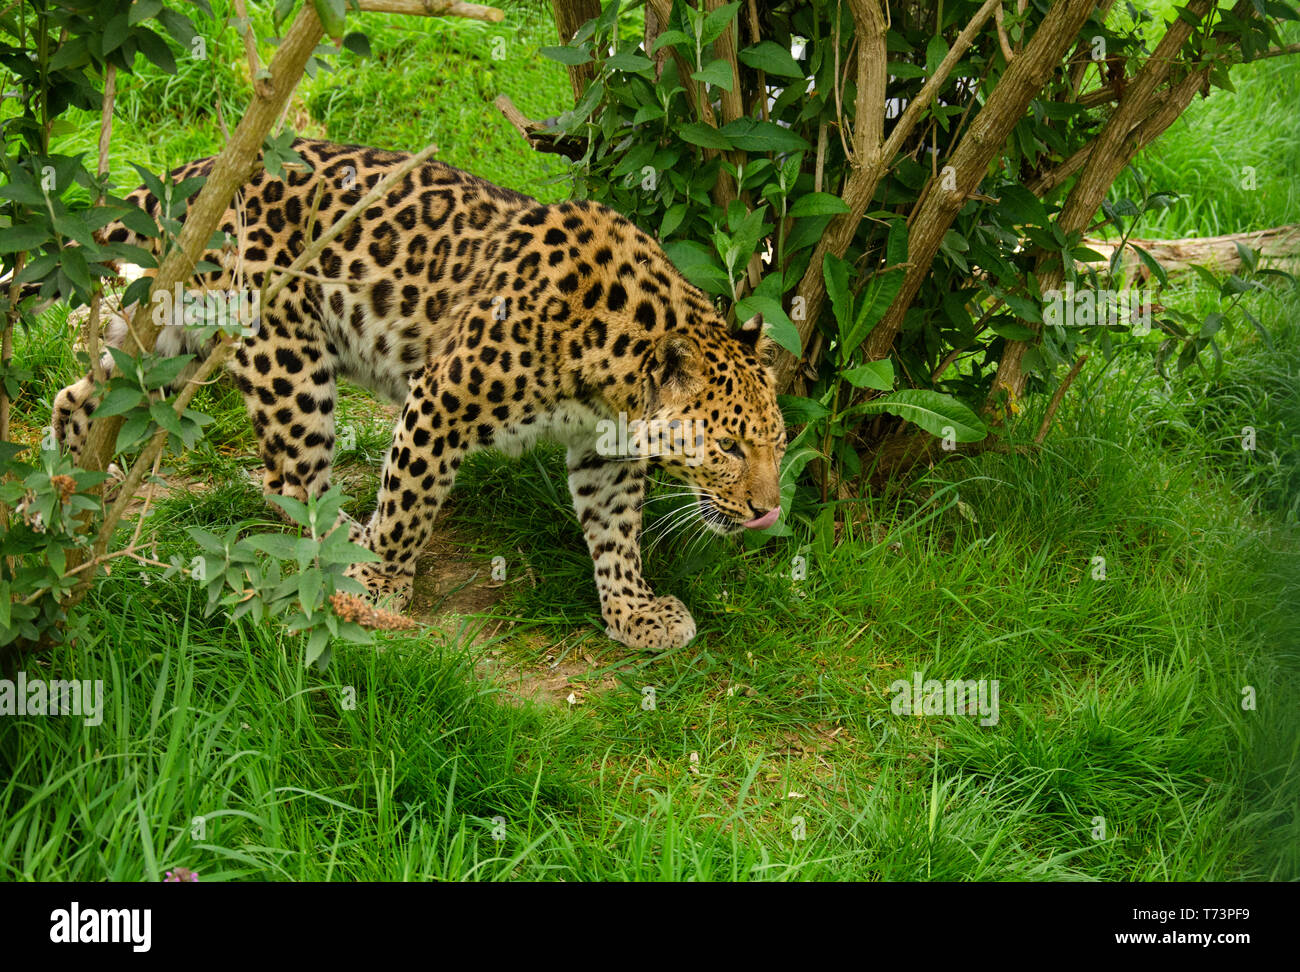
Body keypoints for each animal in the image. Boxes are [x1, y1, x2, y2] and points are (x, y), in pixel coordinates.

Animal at [51, 138, 787, 651]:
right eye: (727, 447)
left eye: (778, 445)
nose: (767, 512)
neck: (620, 369)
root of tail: (202, 169)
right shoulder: (442, 398)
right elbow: (410, 500)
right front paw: (382, 579)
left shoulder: (604, 449)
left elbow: (615, 530)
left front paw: (634, 609)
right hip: (283, 352)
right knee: (292, 480)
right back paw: (348, 548)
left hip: (178, 336)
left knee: (83, 394)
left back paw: (70, 494)